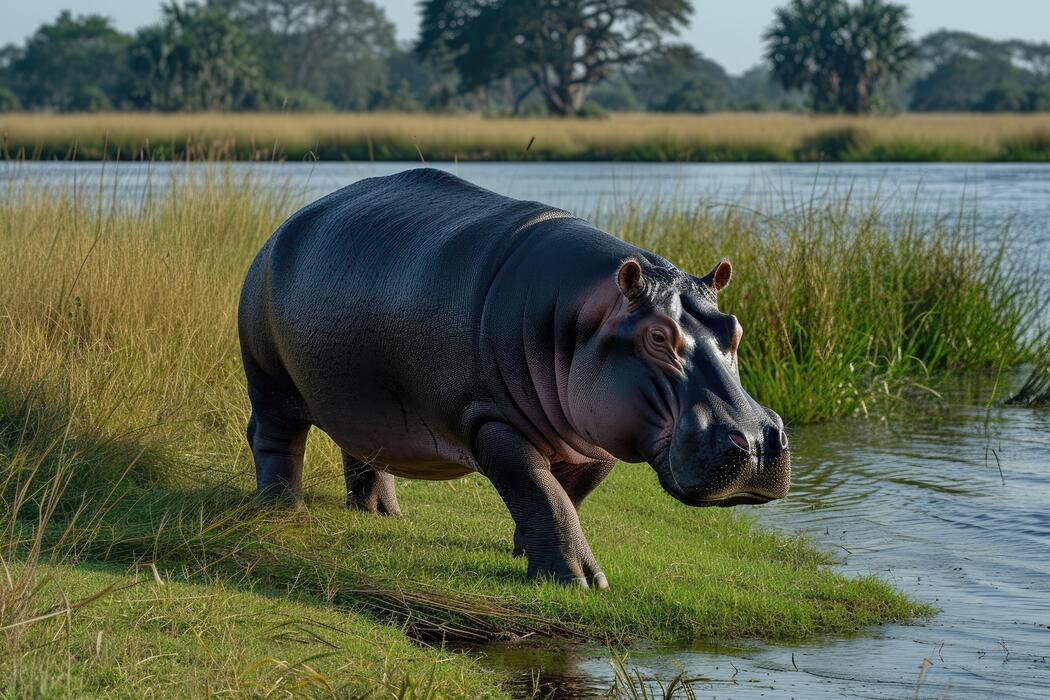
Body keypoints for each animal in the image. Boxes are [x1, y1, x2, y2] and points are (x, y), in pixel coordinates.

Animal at [238, 168, 790, 588]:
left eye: (735, 327)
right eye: (657, 337)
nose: (757, 442)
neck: (579, 317)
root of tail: (283, 227)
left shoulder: (593, 440)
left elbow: (563, 498)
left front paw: (526, 551)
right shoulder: (490, 422)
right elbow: (542, 492)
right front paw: (581, 581)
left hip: (360, 399)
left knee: (364, 450)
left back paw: (381, 515)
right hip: (269, 382)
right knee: (274, 440)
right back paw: (283, 511)